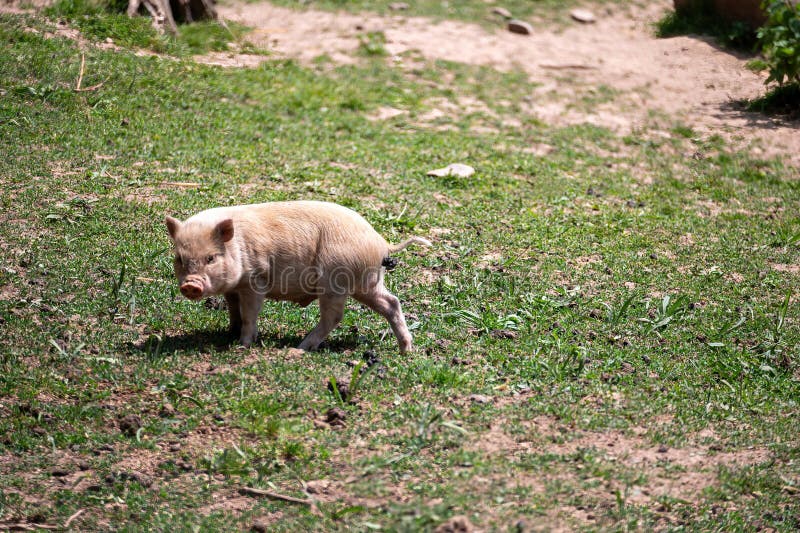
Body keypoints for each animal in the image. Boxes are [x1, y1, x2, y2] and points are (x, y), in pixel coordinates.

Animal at [165, 201, 431, 353]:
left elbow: (250, 313)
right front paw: (229, 333)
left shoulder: (255, 280)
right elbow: (233, 310)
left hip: (335, 281)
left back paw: (299, 348)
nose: (190, 285)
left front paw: (242, 345)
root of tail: (381, 241)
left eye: (211, 258)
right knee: (391, 302)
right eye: (180, 258)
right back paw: (407, 350)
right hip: (367, 283)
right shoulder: (233, 289)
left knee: (334, 317)